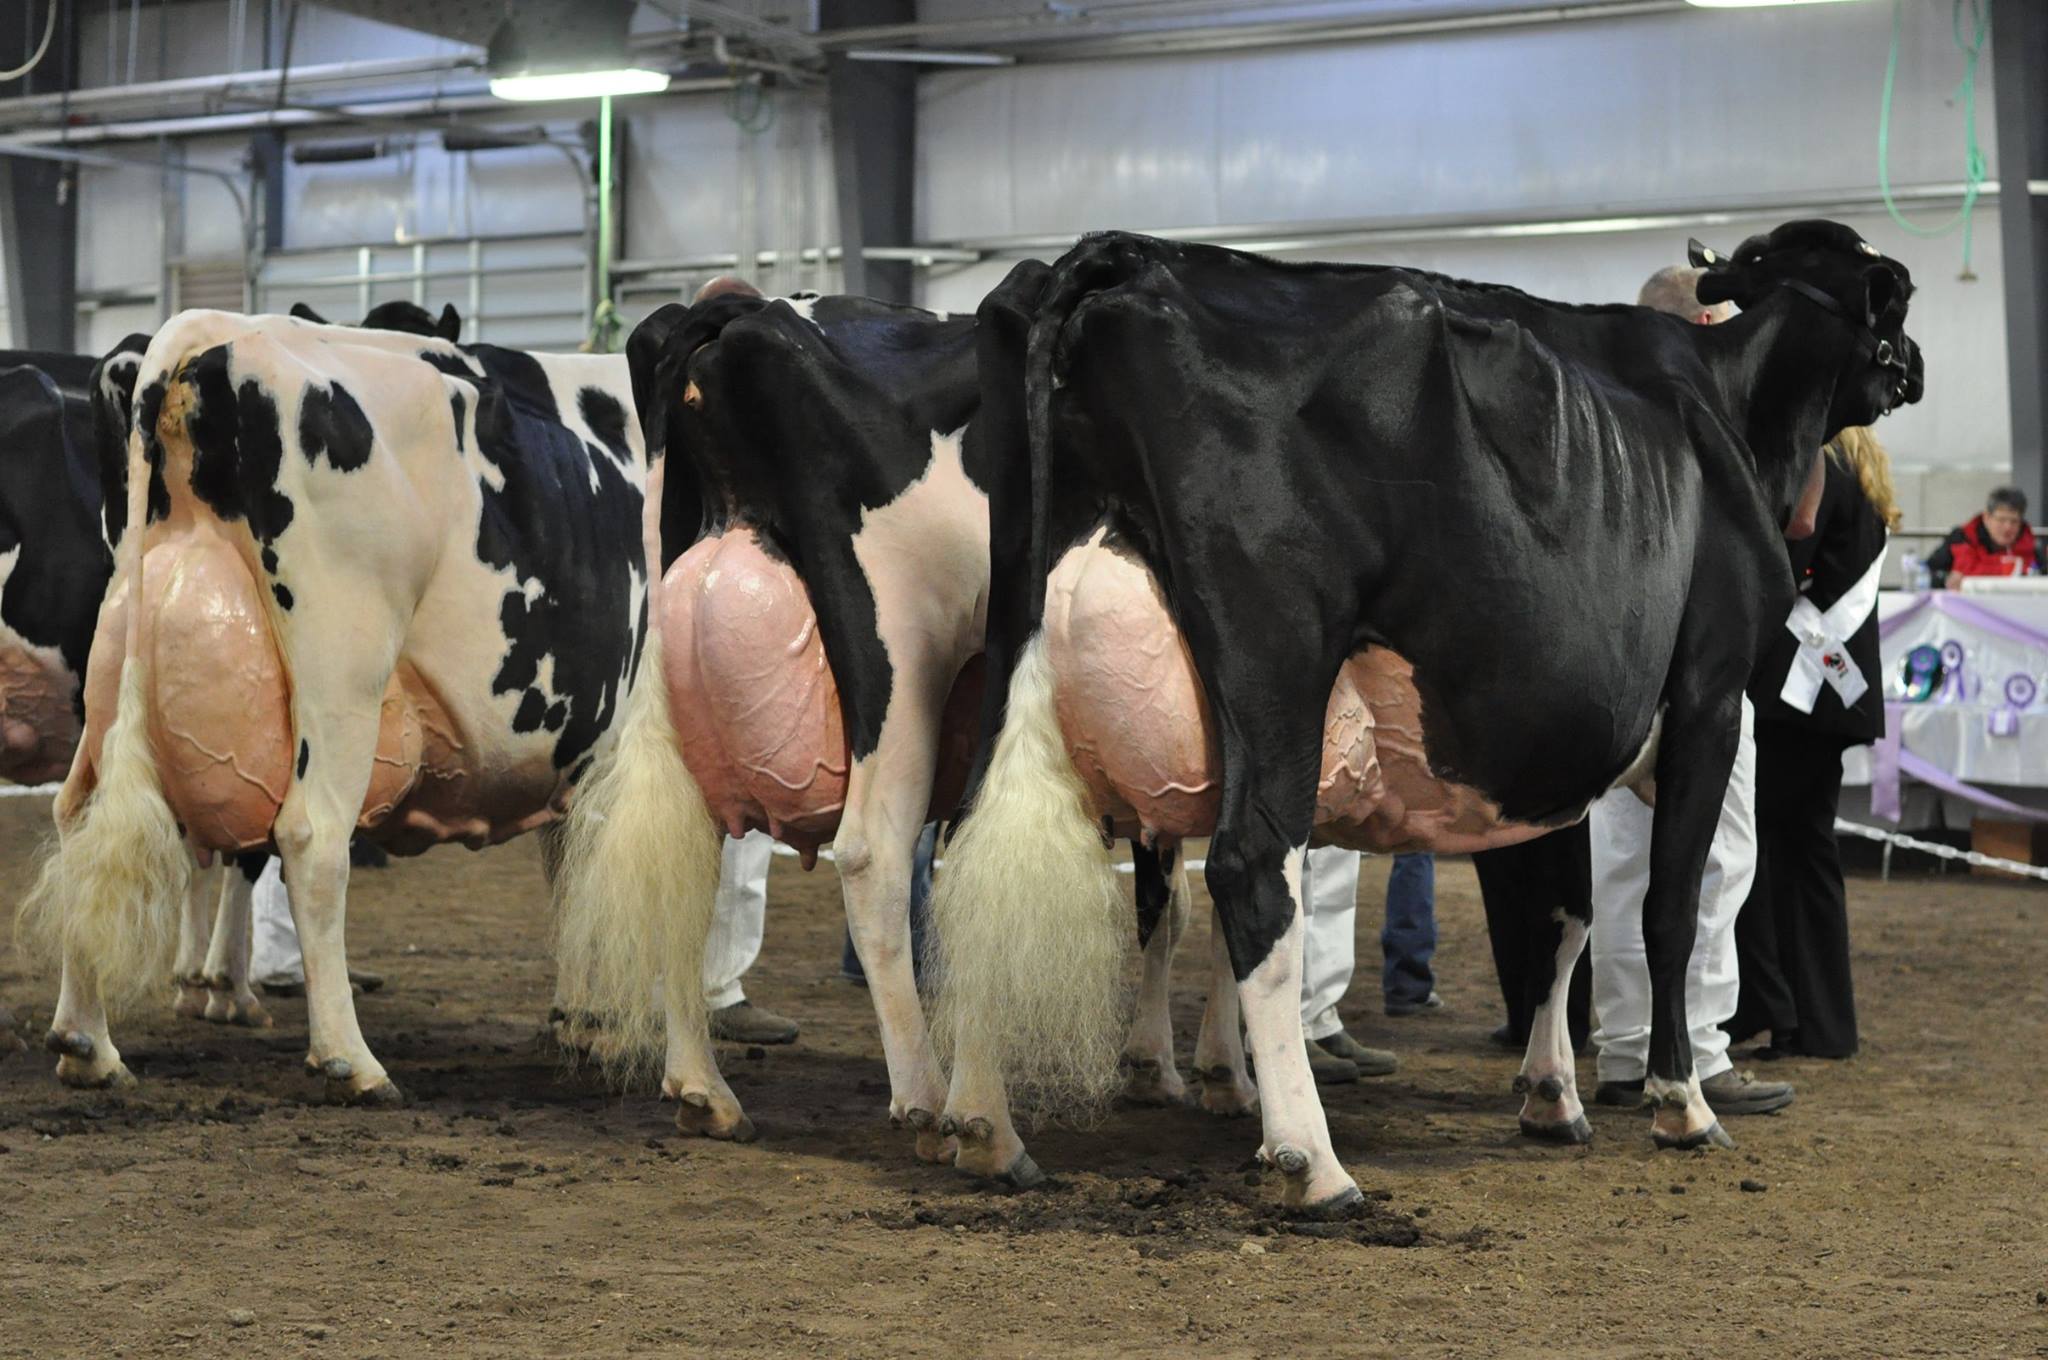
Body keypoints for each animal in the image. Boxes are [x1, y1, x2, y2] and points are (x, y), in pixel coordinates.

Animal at [15, 305, 649, 1104]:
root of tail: (210, 328)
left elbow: (571, 878)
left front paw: (581, 1022)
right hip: (342, 670)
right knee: (312, 839)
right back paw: (351, 1059)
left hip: (117, 646)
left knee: (82, 822)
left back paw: (86, 1043)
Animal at [933, 219, 1922, 1212]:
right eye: (1898, 295)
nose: (1912, 366)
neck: (1733, 407)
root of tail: (1126, 255)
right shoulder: (1710, 695)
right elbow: (1665, 911)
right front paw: (1681, 1105)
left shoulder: (1558, 742)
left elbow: (1562, 915)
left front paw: (1552, 1094)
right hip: (1277, 657)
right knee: (1252, 876)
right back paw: (1314, 1161)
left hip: (1011, 625)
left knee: (974, 855)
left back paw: (985, 1128)